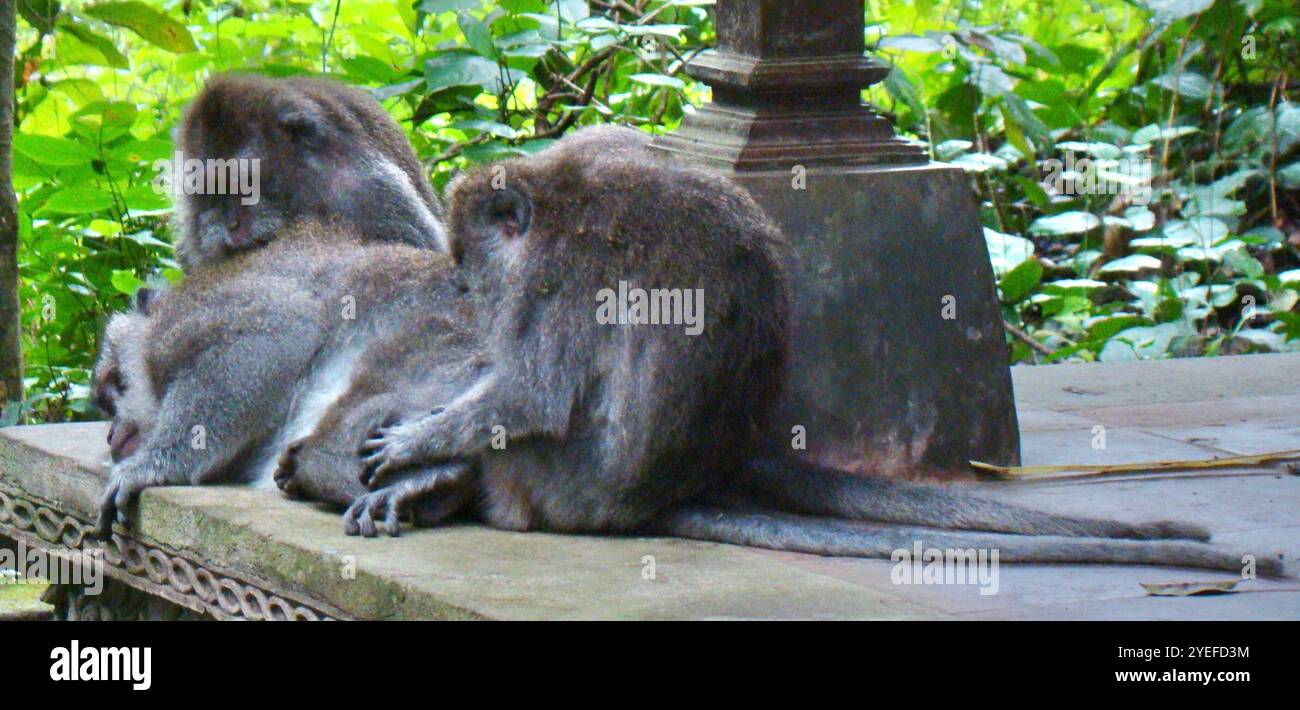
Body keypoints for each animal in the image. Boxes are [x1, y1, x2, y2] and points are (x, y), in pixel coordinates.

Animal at [347, 125, 1285, 576]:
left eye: (471, 266)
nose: (471, 295)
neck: (556, 190)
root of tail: (667, 487)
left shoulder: (551, 278)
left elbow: (530, 399)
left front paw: (417, 441)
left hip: (551, 486)